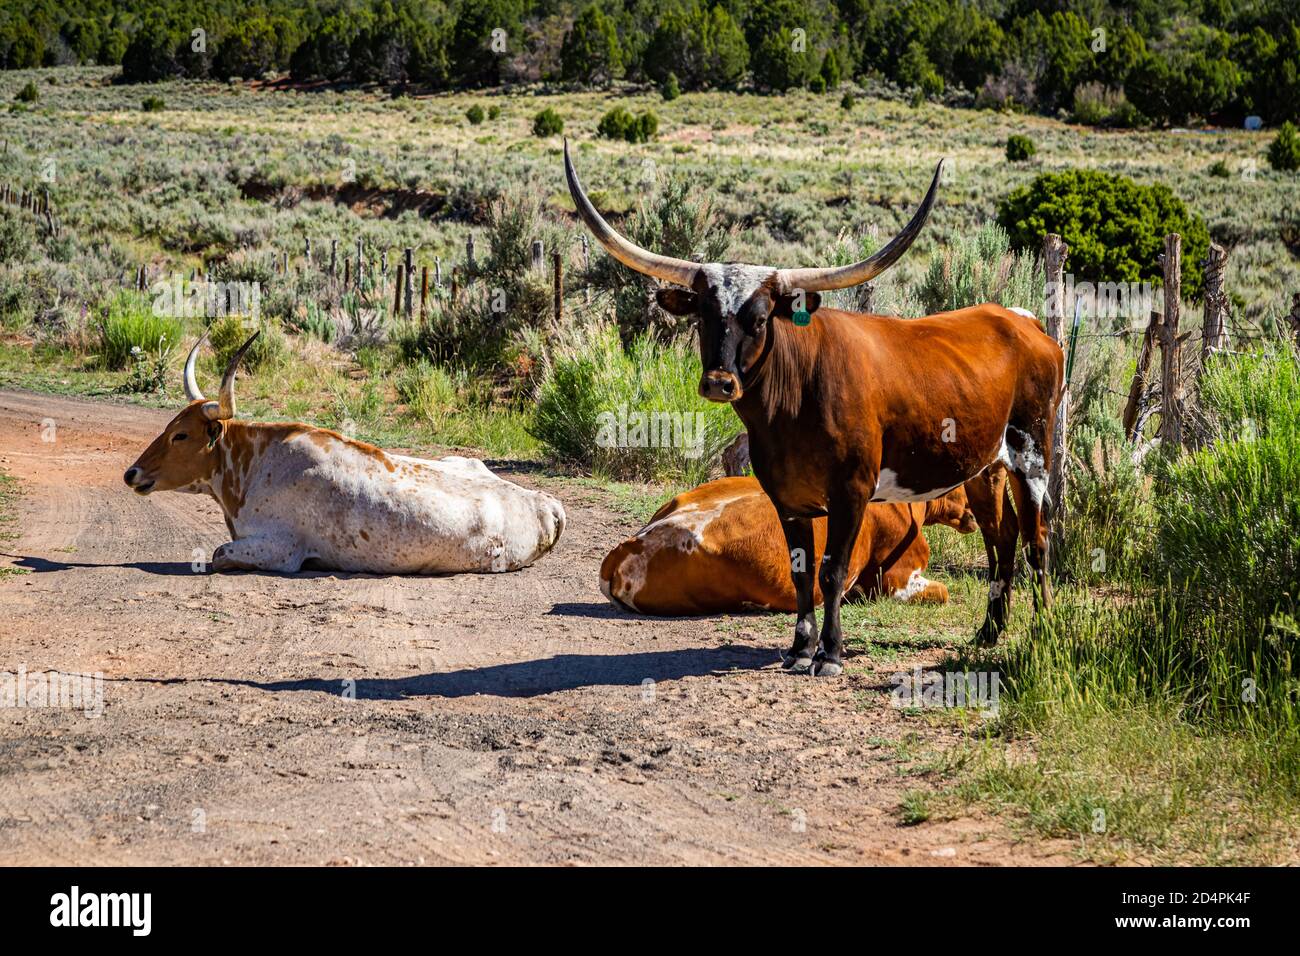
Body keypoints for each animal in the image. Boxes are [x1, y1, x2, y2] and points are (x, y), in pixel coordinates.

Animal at [123, 333, 566, 574]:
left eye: (180, 435)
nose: (131, 473)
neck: (255, 467)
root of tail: (545, 501)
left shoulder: (280, 549)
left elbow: (217, 555)